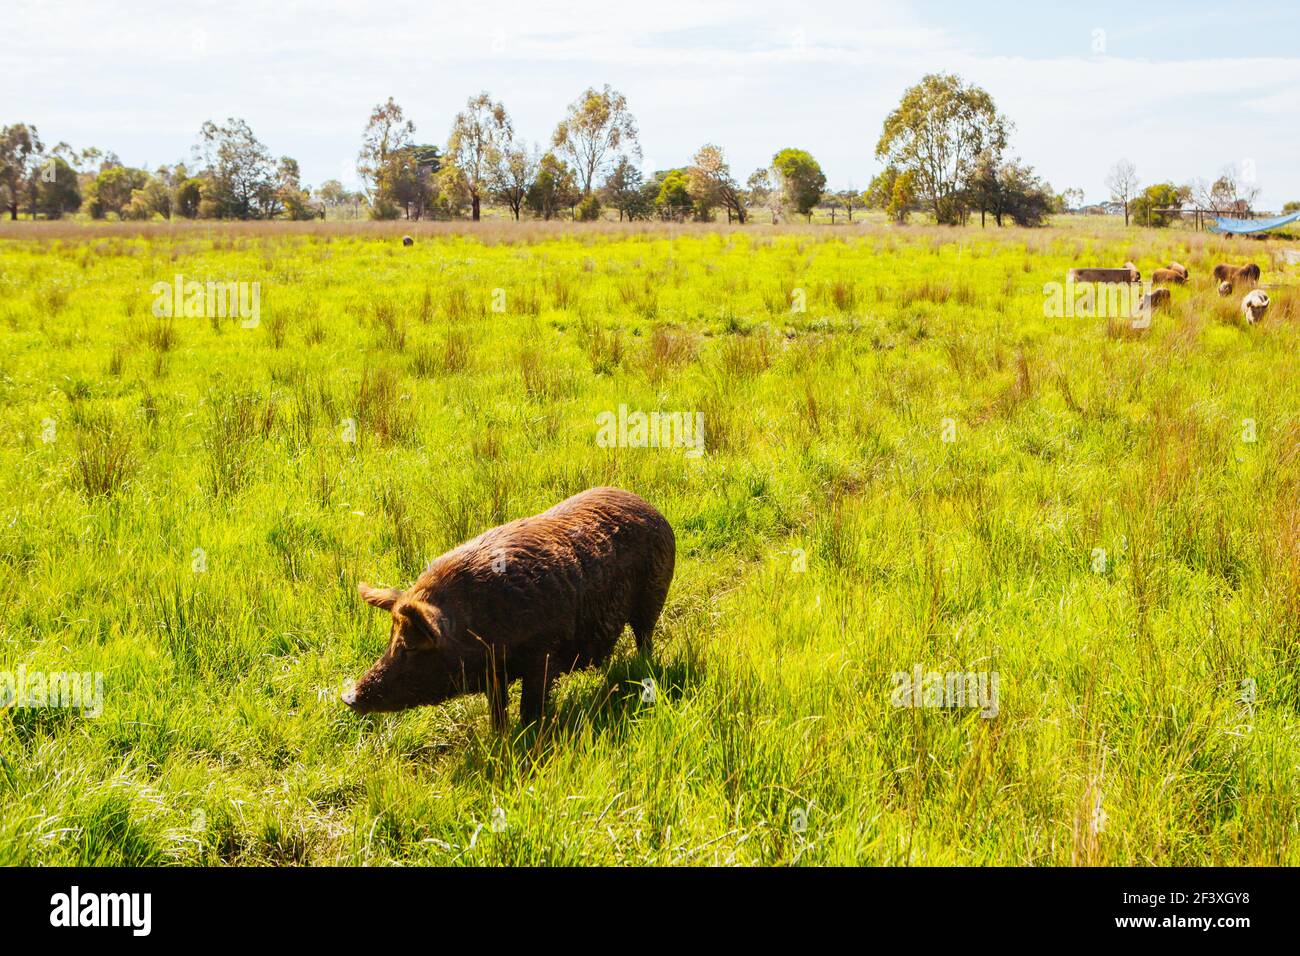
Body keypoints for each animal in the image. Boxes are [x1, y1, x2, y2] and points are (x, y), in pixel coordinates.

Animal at [343, 487, 676, 729]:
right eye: (390, 639)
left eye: (410, 646)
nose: (348, 696)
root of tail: (651, 509)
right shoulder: (494, 673)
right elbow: (497, 708)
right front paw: (498, 735)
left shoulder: (542, 653)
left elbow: (530, 705)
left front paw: (528, 736)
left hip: (653, 594)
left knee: (644, 635)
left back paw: (644, 666)